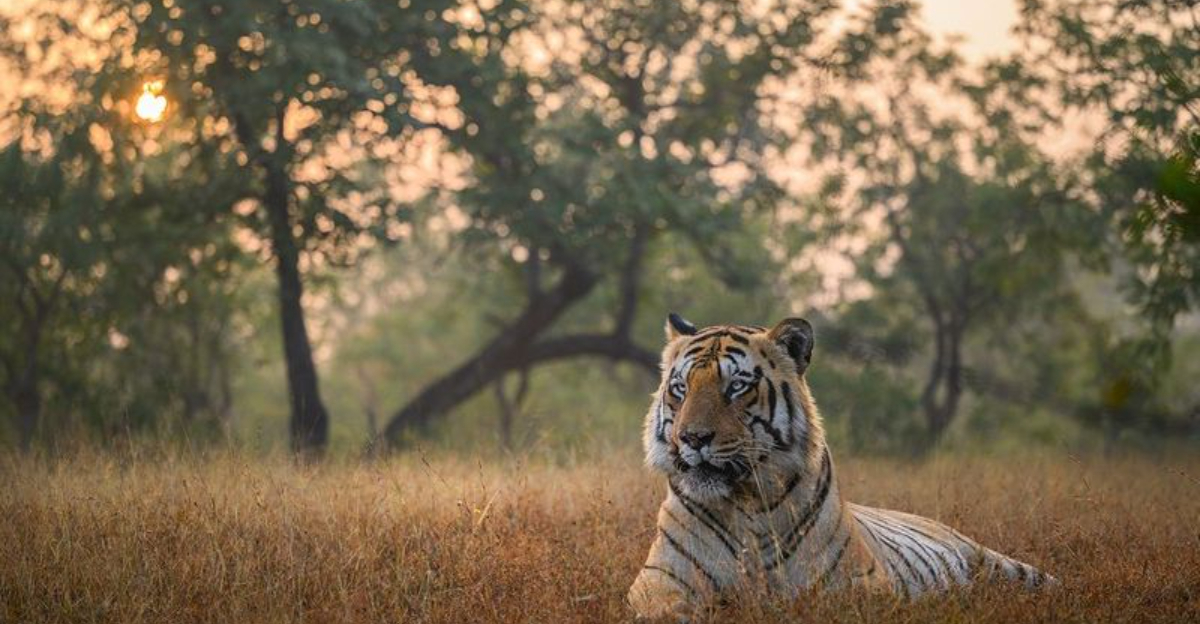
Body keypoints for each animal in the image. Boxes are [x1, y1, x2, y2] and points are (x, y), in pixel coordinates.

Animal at [627, 314, 1057, 620]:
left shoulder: (859, 584)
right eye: (680, 388)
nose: (692, 438)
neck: (746, 502)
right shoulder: (659, 579)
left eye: (736, 386)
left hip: (998, 562)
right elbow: (669, 609)